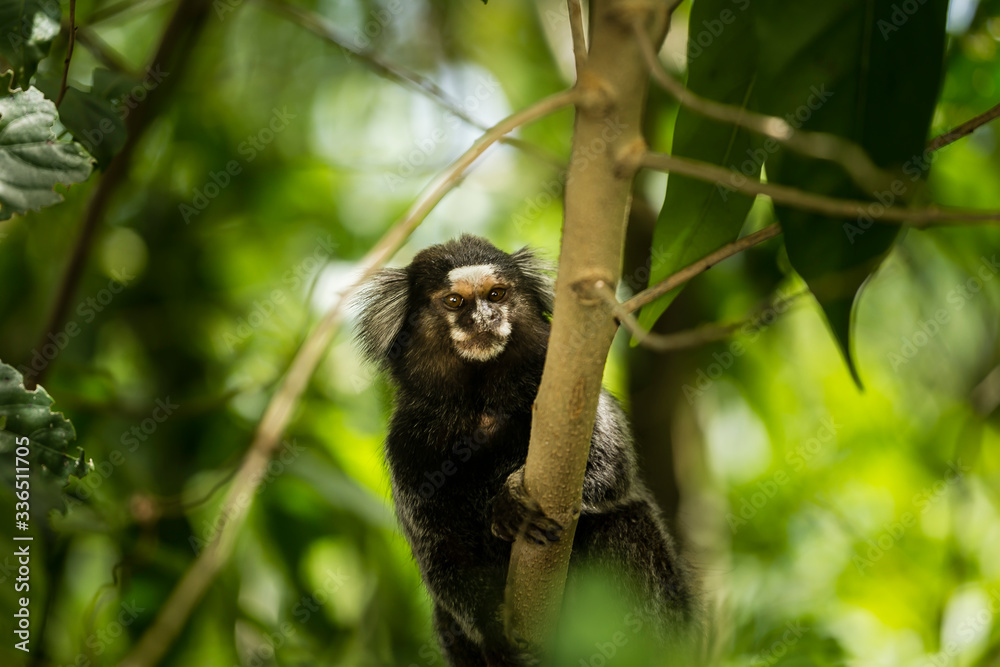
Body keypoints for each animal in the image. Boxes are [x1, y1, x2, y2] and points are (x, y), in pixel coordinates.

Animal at [352, 235, 698, 666]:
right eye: (455, 301)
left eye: (496, 294)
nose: (485, 319)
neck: (479, 404)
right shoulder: (406, 447)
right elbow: (442, 554)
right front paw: (495, 632)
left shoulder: (561, 389)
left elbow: (612, 465)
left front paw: (511, 506)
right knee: (446, 619)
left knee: (626, 522)